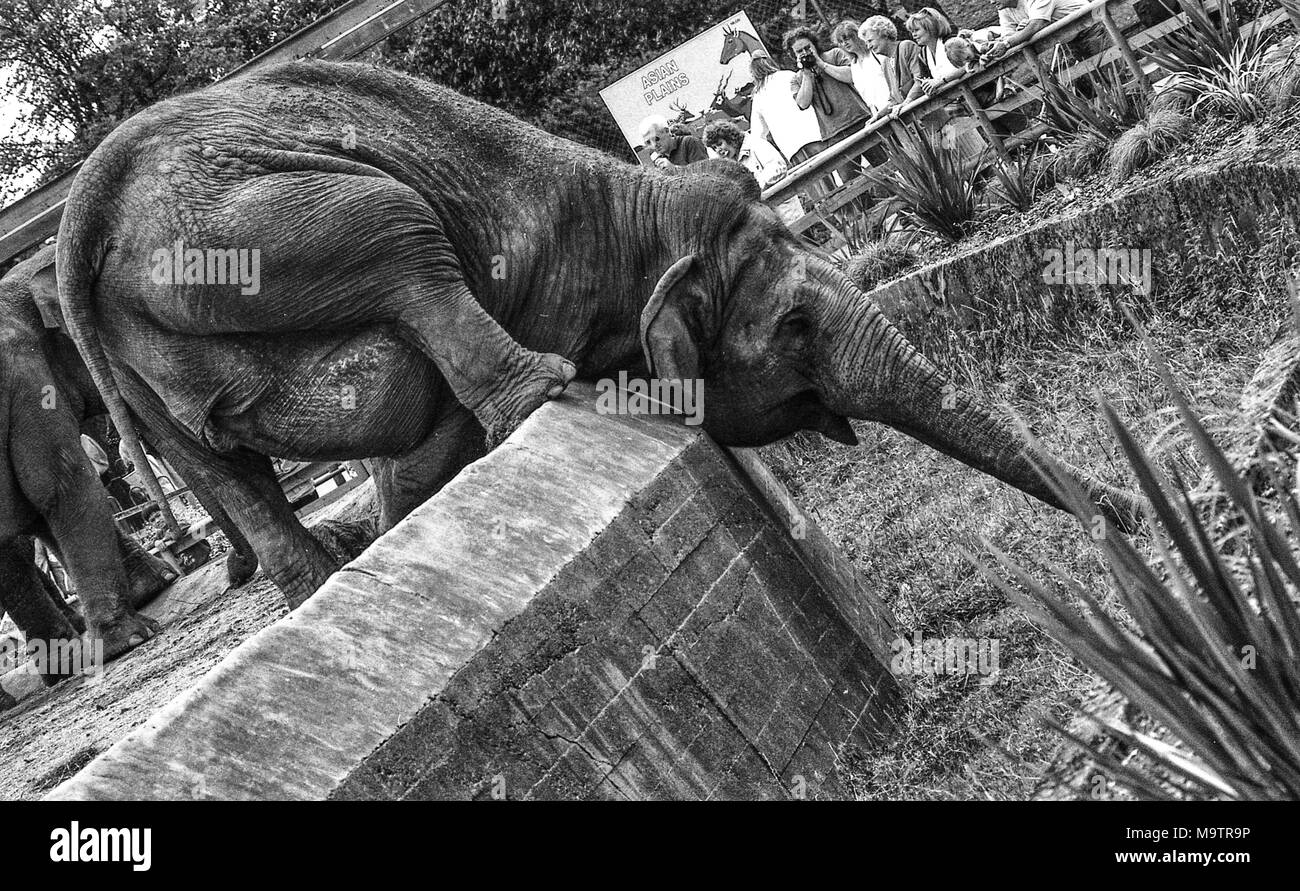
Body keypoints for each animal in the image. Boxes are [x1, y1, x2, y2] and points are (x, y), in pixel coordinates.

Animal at [0, 244, 257, 665]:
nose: (233, 573)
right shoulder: (24, 381)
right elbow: (61, 482)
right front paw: (129, 640)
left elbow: (40, 507)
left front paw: (154, 584)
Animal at [54, 60, 1142, 630]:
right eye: (794, 328)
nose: (1139, 507)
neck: (639, 200)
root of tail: (86, 207)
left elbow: (422, 456)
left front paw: (408, 521)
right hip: (260, 218)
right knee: (396, 230)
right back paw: (544, 391)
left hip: (149, 345)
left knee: (223, 464)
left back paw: (321, 580)